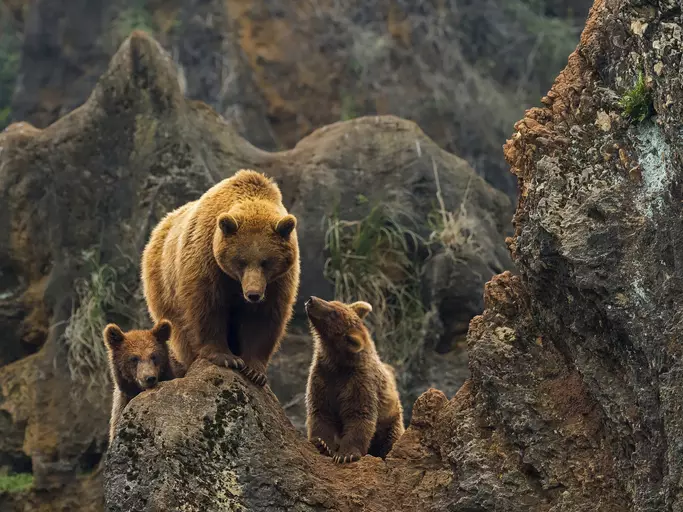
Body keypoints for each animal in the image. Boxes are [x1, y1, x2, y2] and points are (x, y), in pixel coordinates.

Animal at [142, 170, 300, 386]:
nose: (253, 294)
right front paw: (226, 358)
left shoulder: (278, 281)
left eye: (266, 262)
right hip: (164, 285)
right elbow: (207, 306)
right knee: (179, 329)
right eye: (241, 261)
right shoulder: (206, 260)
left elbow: (265, 317)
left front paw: (254, 370)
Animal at [306, 296, 406, 464]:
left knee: (390, 440)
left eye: (334, 313)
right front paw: (322, 444)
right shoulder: (322, 377)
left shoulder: (359, 382)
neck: (337, 363)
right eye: (333, 302)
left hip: (391, 422)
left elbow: (359, 415)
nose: (311, 300)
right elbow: (320, 411)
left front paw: (346, 454)